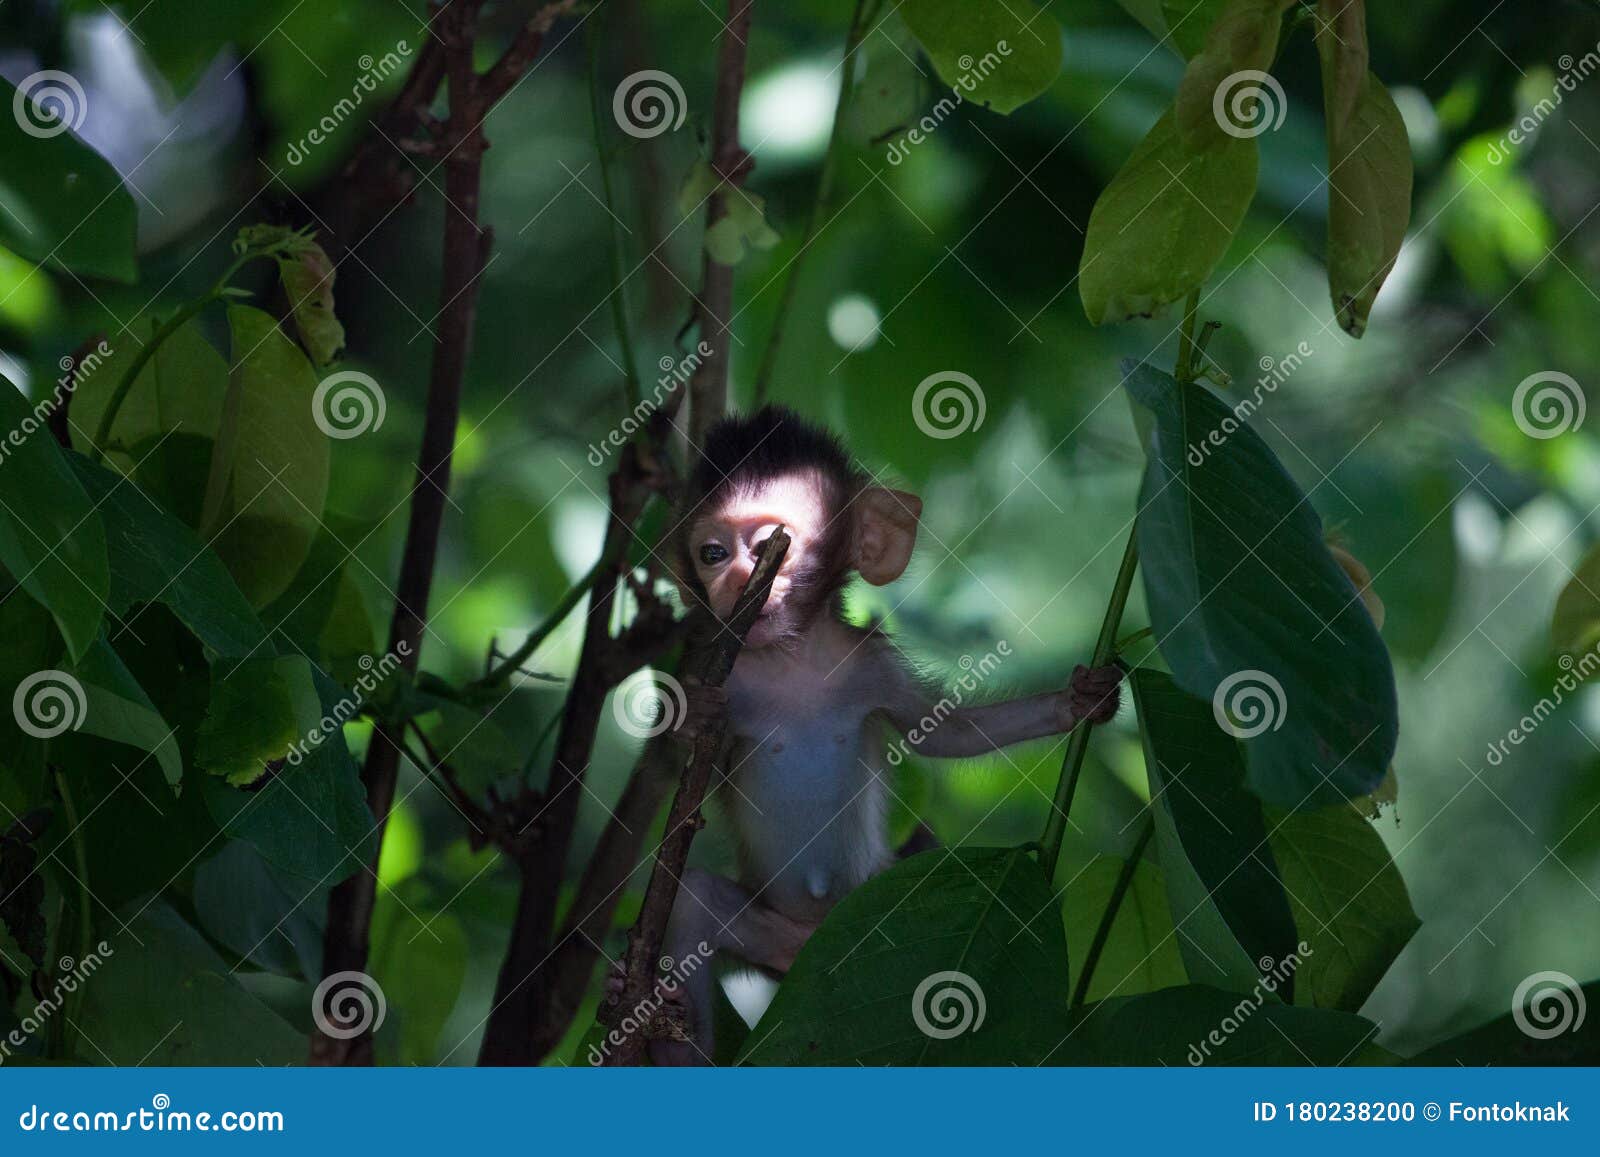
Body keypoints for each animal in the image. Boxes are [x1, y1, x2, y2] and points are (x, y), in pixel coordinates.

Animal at [609, 405, 1122, 1065]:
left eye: (772, 544)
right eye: (714, 552)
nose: (740, 579)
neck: (792, 660)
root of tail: (802, 955)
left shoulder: (871, 662)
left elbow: (943, 733)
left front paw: (1075, 703)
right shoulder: (706, 661)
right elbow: (668, 767)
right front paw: (694, 720)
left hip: (870, 900)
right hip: (769, 933)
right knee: (694, 903)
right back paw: (655, 1021)